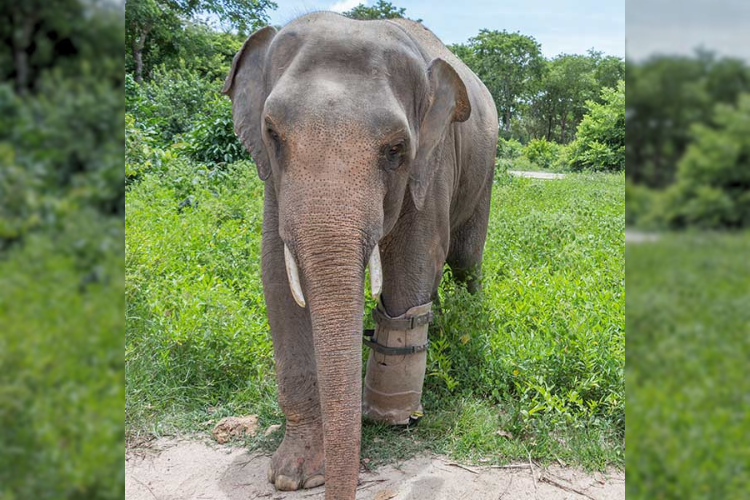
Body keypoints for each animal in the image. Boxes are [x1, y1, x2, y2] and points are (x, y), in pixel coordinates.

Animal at [222, 12, 498, 500]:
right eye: (272, 134)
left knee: (467, 261)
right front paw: (292, 476)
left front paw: (391, 417)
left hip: (485, 171)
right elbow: (277, 277)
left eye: (395, 150)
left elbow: (413, 267)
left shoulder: (433, 162)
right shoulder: (274, 185)